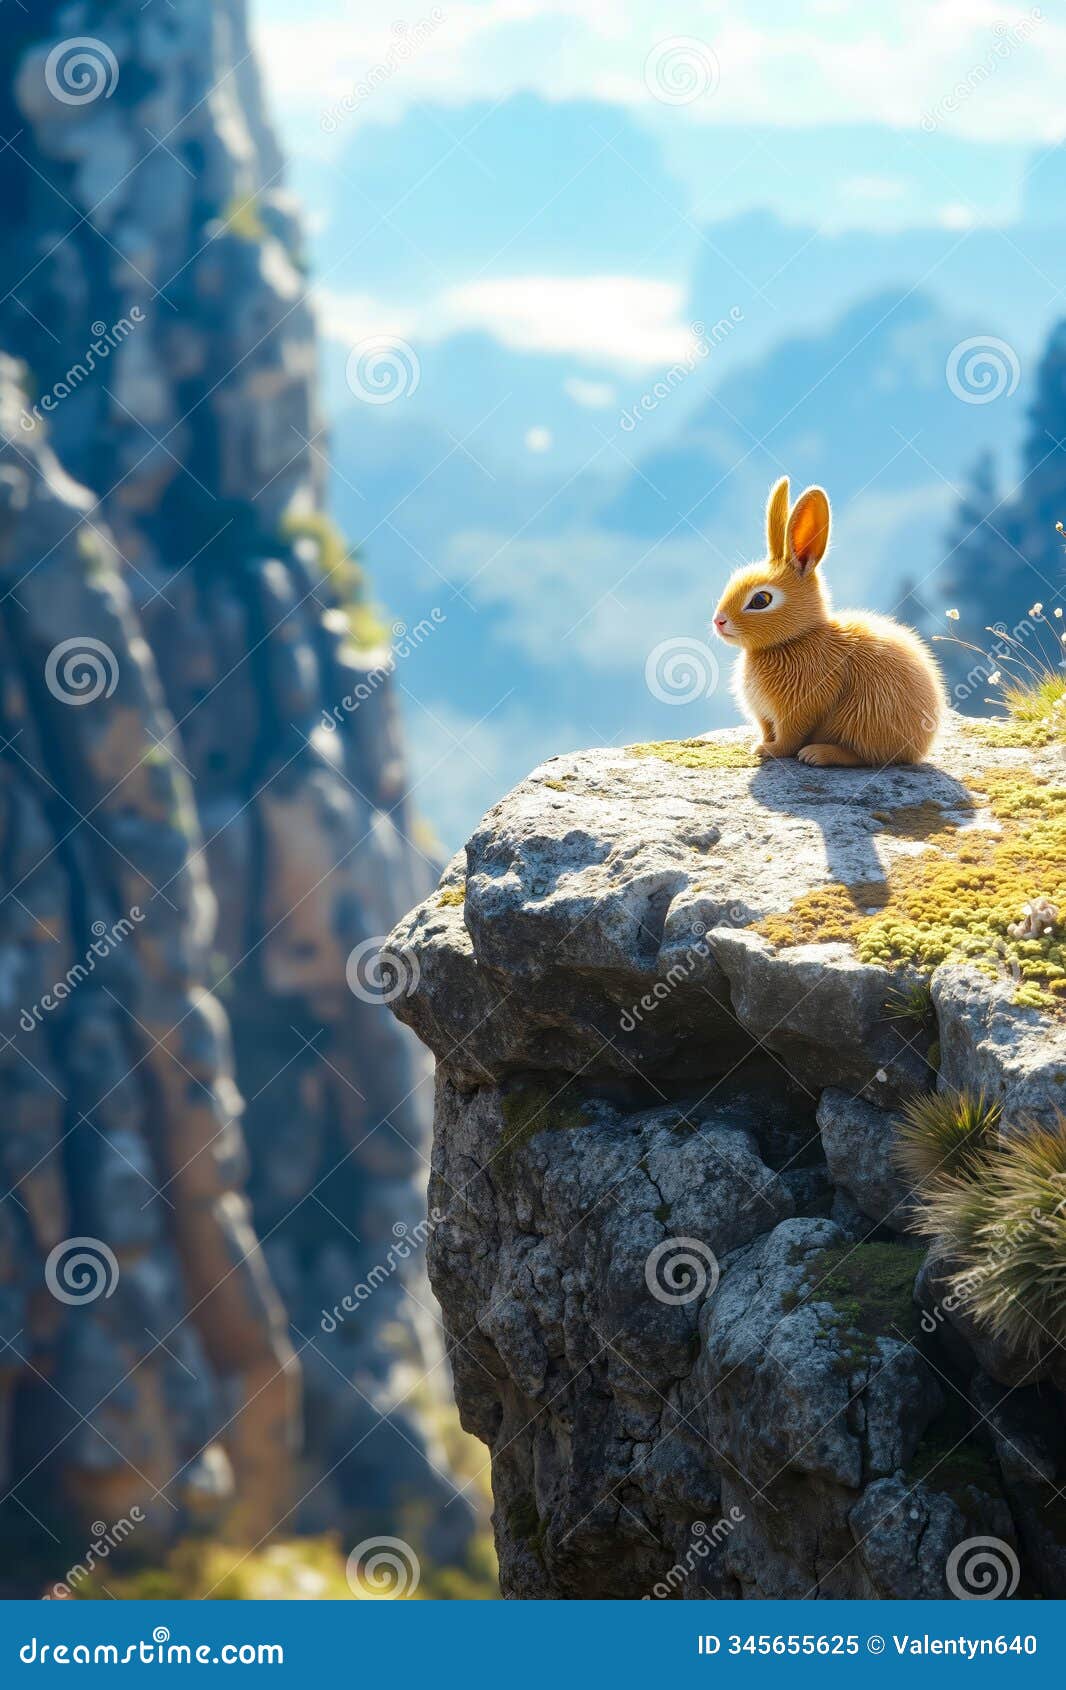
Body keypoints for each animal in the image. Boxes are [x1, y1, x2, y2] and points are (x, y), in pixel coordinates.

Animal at [713, 477, 945, 767]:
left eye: (760, 600)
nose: (718, 621)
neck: (794, 639)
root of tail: (920, 747)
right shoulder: (765, 715)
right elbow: (767, 730)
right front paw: (761, 745)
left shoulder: (799, 707)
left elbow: (789, 737)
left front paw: (768, 750)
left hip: (863, 716)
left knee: (865, 757)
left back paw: (817, 754)